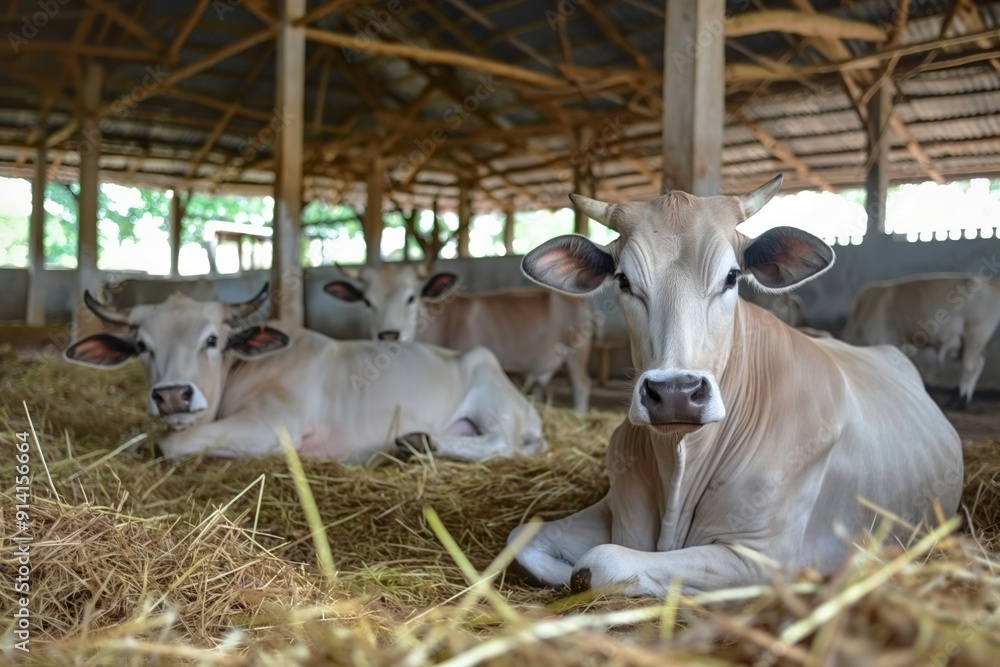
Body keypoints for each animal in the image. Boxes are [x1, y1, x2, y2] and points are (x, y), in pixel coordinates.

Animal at [63, 285, 546, 463]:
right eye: (142, 346)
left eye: (212, 340)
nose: (173, 395)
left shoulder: (272, 425)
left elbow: (168, 444)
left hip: (491, 397)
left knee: (501, 444)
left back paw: (420, 443)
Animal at [505, 175, 963, 596]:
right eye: (622, 280)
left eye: (731, 276)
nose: (675, 394)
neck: (679, 467)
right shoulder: (614, 508)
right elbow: (522, 537)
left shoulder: (762, 557)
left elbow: (598, 563)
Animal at [841, 274, 1000, 409]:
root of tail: (991, 283)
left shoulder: (881, 338)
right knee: (978, 363)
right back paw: (962, 400)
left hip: (976, 335)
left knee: (970, 366)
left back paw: (957, 401)